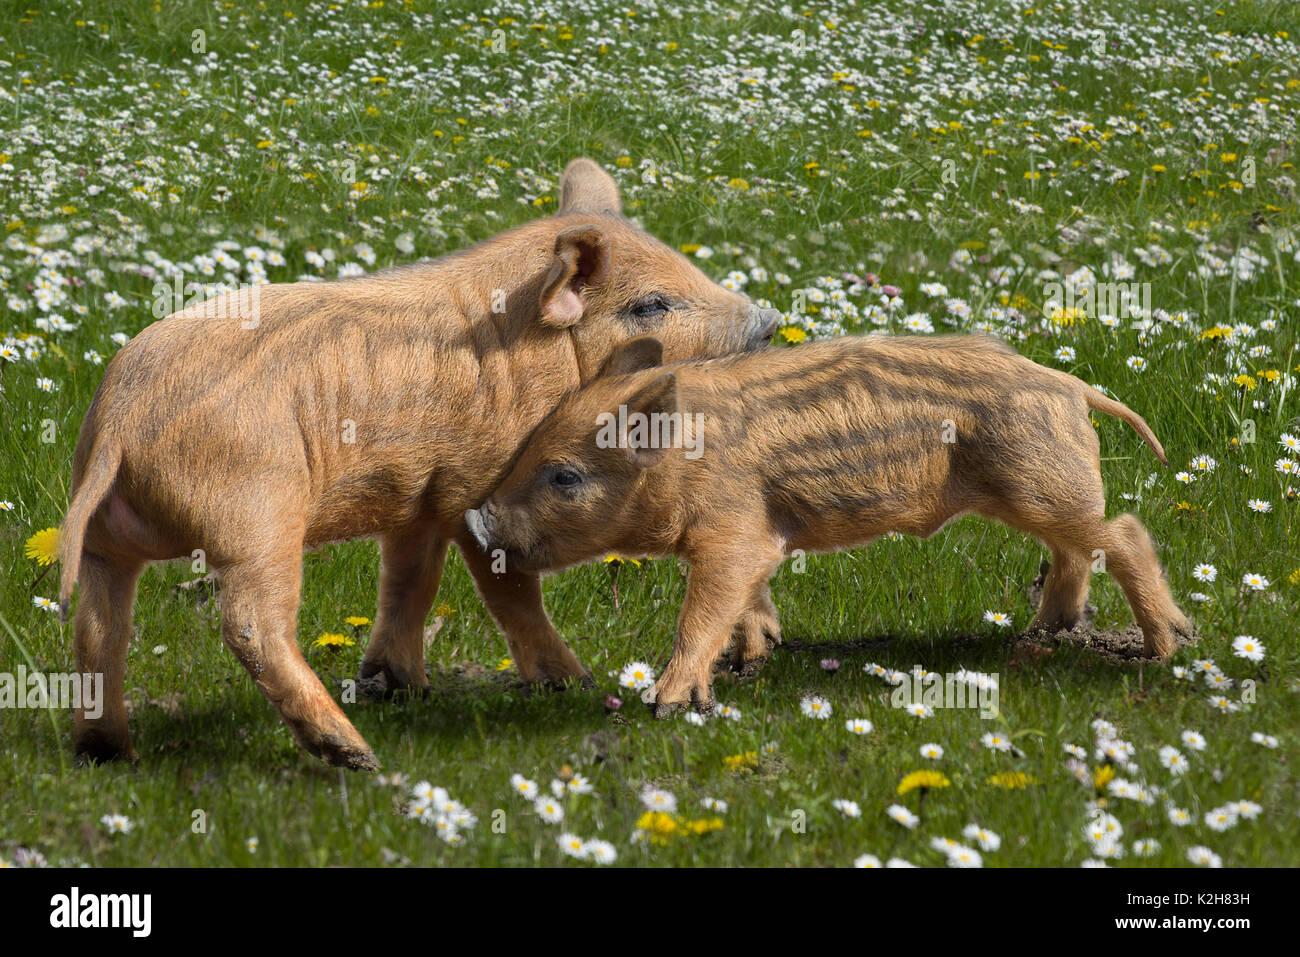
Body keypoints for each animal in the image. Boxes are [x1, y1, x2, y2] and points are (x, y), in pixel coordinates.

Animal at [59, 159, 781, 769]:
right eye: (651, 304)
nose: (769, 321)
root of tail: (122, 414)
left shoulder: (421, 498)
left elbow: (410, 580)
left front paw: (401, 687)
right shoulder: (477, 484)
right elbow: (507, 587)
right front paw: (575, 685)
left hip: (109, 536)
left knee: (98, 625)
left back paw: (108, 753)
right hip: (254, 509)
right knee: (246, 624)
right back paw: (357, 756)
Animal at [467, 333, 1193, 715]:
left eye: (565, 476)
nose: (477, 516)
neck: (680, 462)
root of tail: (1073, 385)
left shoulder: (732, 531)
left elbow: (702, 608)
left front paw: (667, 703)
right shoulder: (756, 537)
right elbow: (747, 601)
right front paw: (749, 660)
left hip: (1044, 483)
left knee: (1123, 532)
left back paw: (1165, 648)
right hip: (1040, 487)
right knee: (1076, 549)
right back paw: (1045, 633)